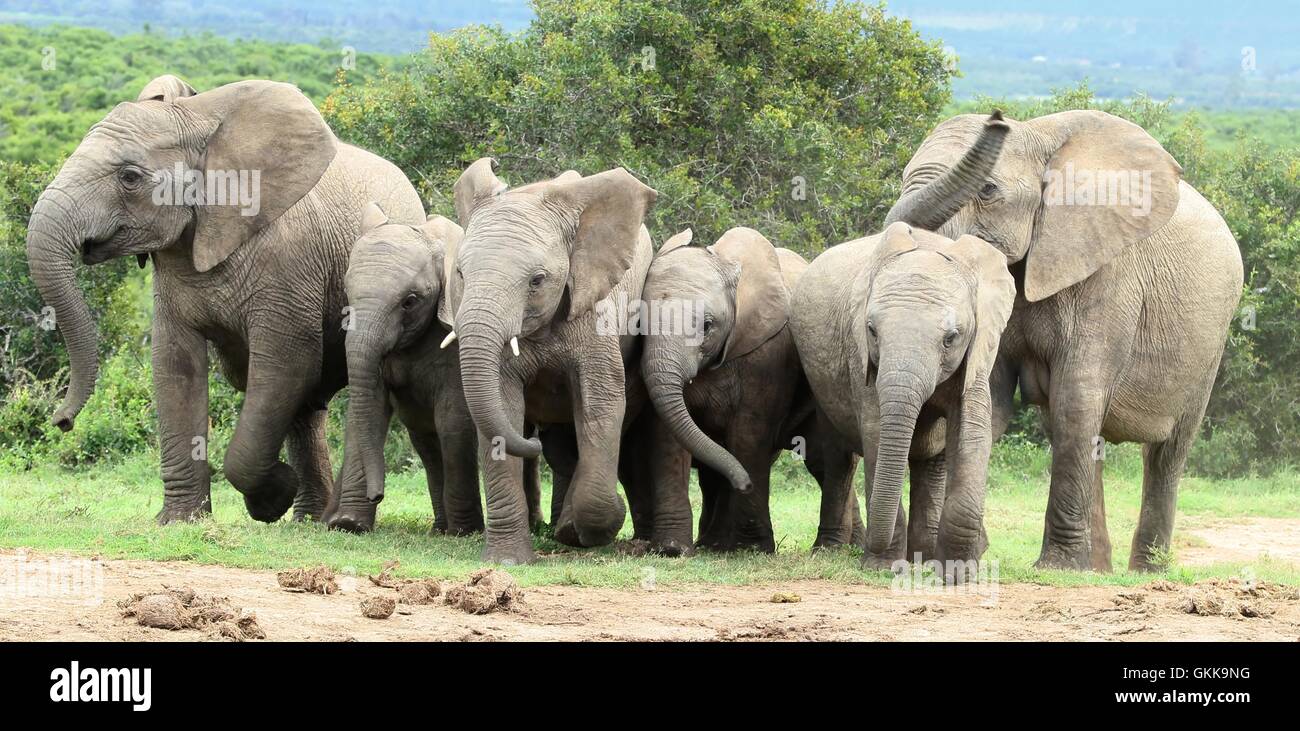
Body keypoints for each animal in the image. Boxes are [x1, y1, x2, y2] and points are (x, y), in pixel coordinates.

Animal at [25, 75, 425, 524]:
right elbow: (175, 365)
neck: (198, 122)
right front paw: (179, 522)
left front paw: (272, 496)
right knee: (307, 404)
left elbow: (285, 361)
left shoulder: (289, 258)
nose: (61, 422)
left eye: (129, 177)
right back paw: (306, 518)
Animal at [446, 159, 657, 564]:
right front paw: (507, 561)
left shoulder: (595, 308)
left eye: (538, 280)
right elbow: (503, 407)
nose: (533, 442)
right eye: (460, 274)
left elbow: (601, 405)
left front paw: (586, 530)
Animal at [637, 227, 864, 555]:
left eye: (708, 325)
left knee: (822, 460)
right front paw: (672, 549)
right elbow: (668, 438)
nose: (743, 483)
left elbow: (749, 434)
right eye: (638, 324)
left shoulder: (769, 350)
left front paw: (752, 548)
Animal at [792, 221, 1015, 573]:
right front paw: (883, 567)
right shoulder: (861, 359)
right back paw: (832, 551)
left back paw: (923, 556)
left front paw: (959, 571)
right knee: (840, 459)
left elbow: (972, 431)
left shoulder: (979, 352)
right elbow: (875, 432)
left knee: (933, 463)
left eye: (951, 337)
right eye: (871, 330)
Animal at [882, 109, 1243, 571]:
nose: (996, 118)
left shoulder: (1108, 276)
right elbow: (992, 400)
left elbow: (1076, 398)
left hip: (1211, 343)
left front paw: (1055, 568)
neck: (1039, 136)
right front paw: (973, 552)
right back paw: (1099, 571)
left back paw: (1144, 570)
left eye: (987, 190)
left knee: (1165, 452)